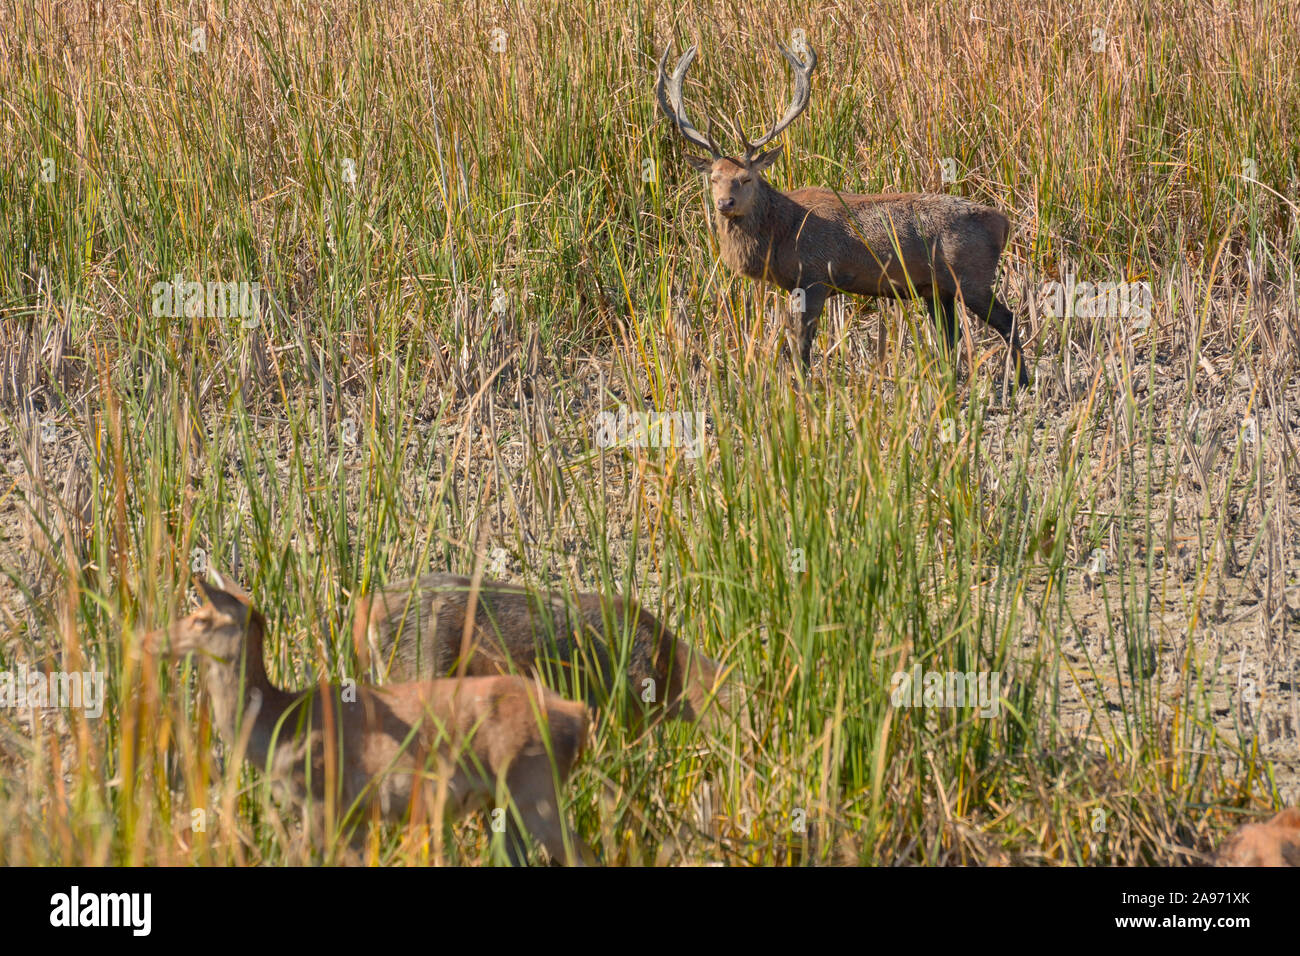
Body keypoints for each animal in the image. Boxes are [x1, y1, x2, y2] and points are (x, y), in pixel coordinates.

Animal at [145, 569, 592, 866]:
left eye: (201, 618)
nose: (150, 639)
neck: (279, 727)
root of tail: (578, 715)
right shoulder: (356, 815)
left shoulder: (322, 799)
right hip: (507, 799)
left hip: (534, 787)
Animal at [656, 42, 1031, 388]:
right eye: (714, 178)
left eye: (746, 178)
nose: (725, 203)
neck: (781, 233)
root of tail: (1004, 222)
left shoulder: (815, 276)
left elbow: (803, 343)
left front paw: (803, 385)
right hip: (939, 290)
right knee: (949, 338)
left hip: (972, 277)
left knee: (1009, 320)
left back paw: (1022, 381)